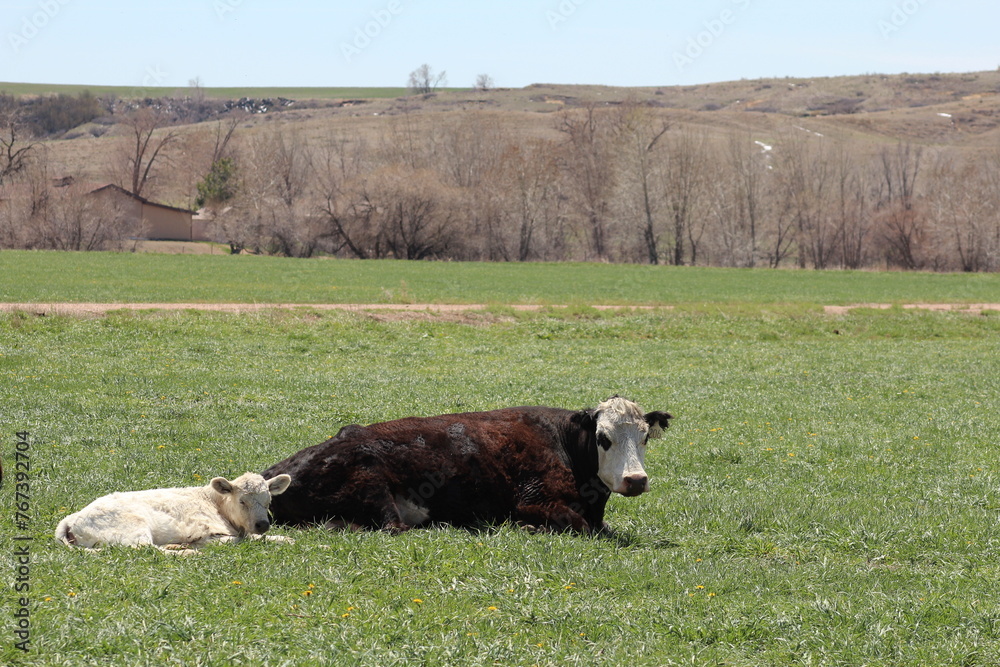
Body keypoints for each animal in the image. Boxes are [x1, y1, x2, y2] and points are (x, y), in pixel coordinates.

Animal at [55, 472, 293, 553]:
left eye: (268, 501)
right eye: (242, 501)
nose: (262, 524)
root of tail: (72, 518)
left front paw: (282, 538)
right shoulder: (207, 530)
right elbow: (235, 540)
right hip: (133, 529)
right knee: (144, 550)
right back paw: (186, 551)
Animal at [262, 396, 672, 534]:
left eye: (645, 437)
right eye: (604, 438)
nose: (636, 479)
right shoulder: (534, 500)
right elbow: (580, 526)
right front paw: (528, 528)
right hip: (372, 481)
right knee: (394, 527)